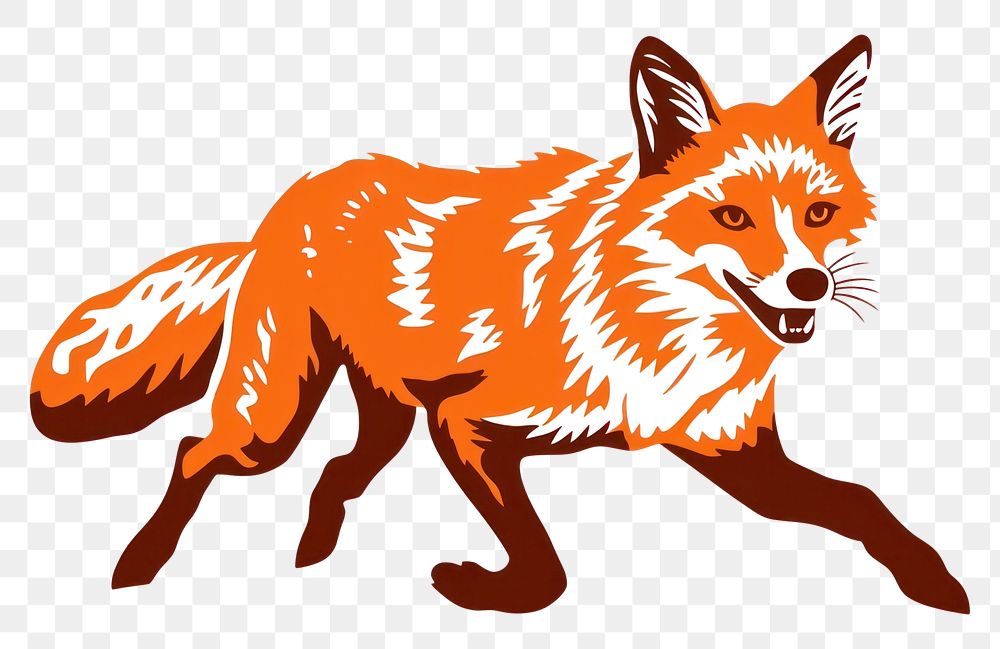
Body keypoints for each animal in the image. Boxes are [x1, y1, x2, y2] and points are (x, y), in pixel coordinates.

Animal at [30, 35, 969, 614]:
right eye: (732, 218)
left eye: (818, 213)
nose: (810, 284)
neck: (655, 329)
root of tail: (283, 206)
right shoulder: (470, 424)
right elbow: (546, 569)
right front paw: (475, 587)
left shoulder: (733, 451)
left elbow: (863, 503)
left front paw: (936, 582)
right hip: (274, 420)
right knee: (196, 451)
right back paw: (138, 563)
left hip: (385, 420)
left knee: (336, 470)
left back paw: (313, 548)